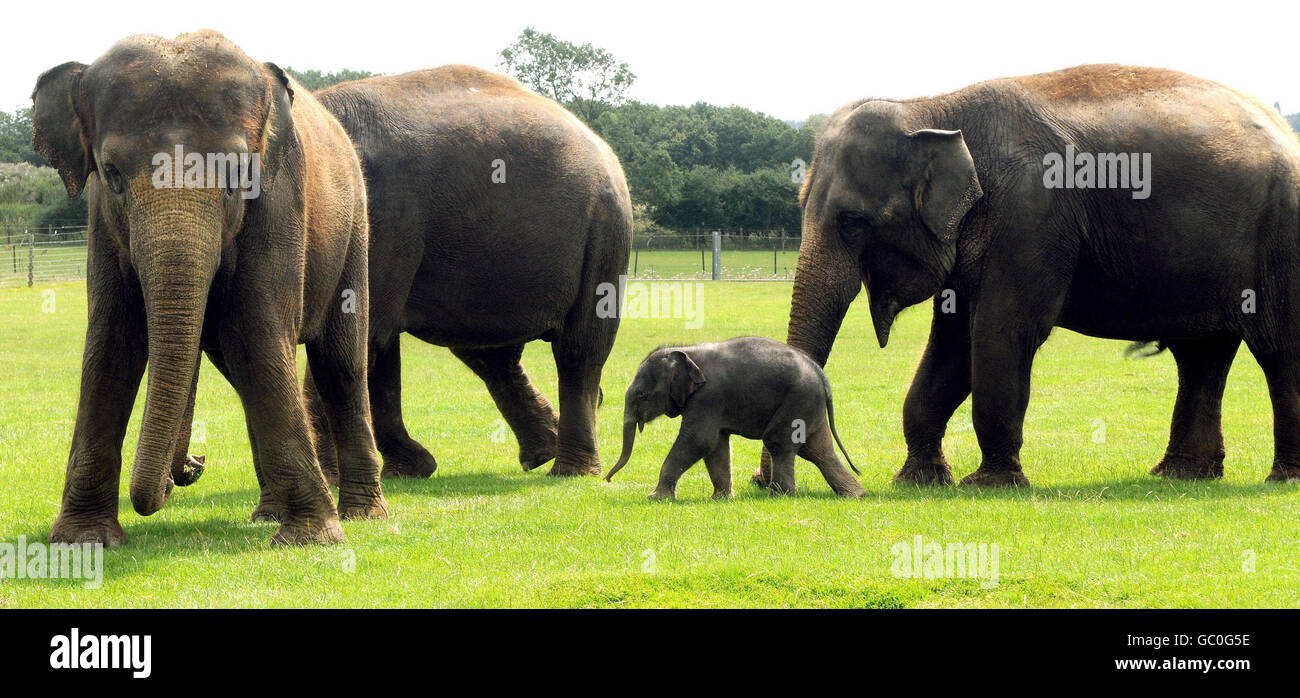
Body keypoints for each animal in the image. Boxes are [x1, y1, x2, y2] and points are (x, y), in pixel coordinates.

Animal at [33, 30, 387, 547]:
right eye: (112, 173)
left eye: (238, 172)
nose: (194, 463)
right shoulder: (101, 218)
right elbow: (111, 346)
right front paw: (84, 540)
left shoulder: (280, 198)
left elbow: (260, 335)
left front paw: (313, 539)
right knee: (244, 371)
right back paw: (268, 514)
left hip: (356, 227)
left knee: (338, 365)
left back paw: (364, 515)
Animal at [607, 337, 864, 500]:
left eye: (642, 394)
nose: (607, 480)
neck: (688, 350)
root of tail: (821, 375)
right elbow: (716, 445)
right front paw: (720, 499)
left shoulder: (708, 397)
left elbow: (699, 440)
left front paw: (655, 498)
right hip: (809, 405)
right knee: (818, 450)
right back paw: (855, 495)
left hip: (798, 400)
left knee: (780, 443)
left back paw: (780, 496)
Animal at [768, 63, 1300, 488]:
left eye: (853, 222)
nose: (763, 483)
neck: (933, 107)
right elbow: (953, 346)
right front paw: (920, 480)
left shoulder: (1031, 214)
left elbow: (1002, 332)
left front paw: (989, 484)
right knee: (1201, 356)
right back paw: (1181, 475)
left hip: (1281, 240)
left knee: (1278, 349)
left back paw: (1280, 479)